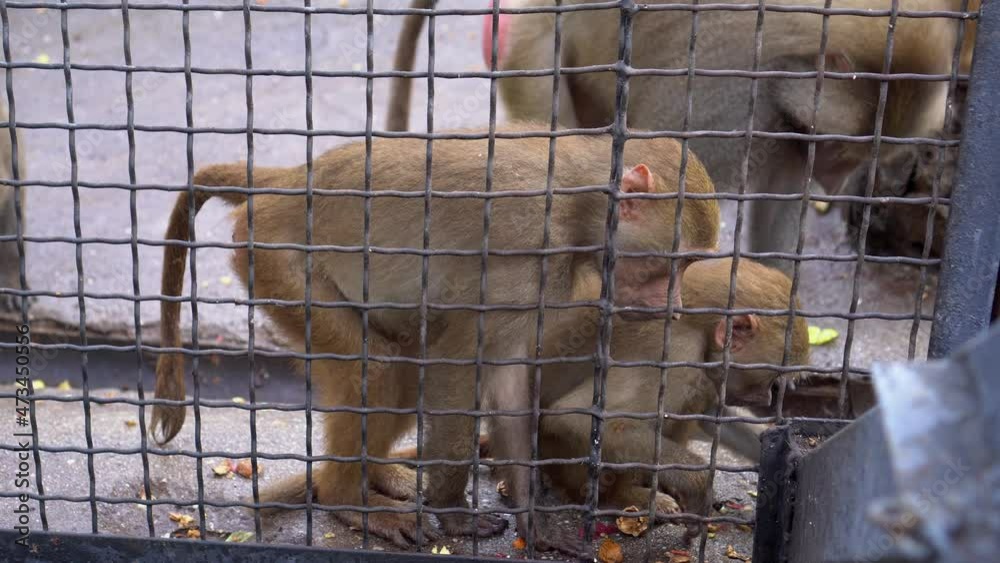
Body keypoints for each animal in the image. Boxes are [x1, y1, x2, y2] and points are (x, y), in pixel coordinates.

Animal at [153, 123, 721, 554]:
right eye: (674, 265)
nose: (674, 307)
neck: (579, 199)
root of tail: (292, 180)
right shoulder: (522, 251)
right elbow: (459, 365)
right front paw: (454, 513)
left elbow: (509, 384)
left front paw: (535, 521)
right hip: (274, 256)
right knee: (375, 367)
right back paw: (346, 498)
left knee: (400, 369)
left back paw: (378, 477)